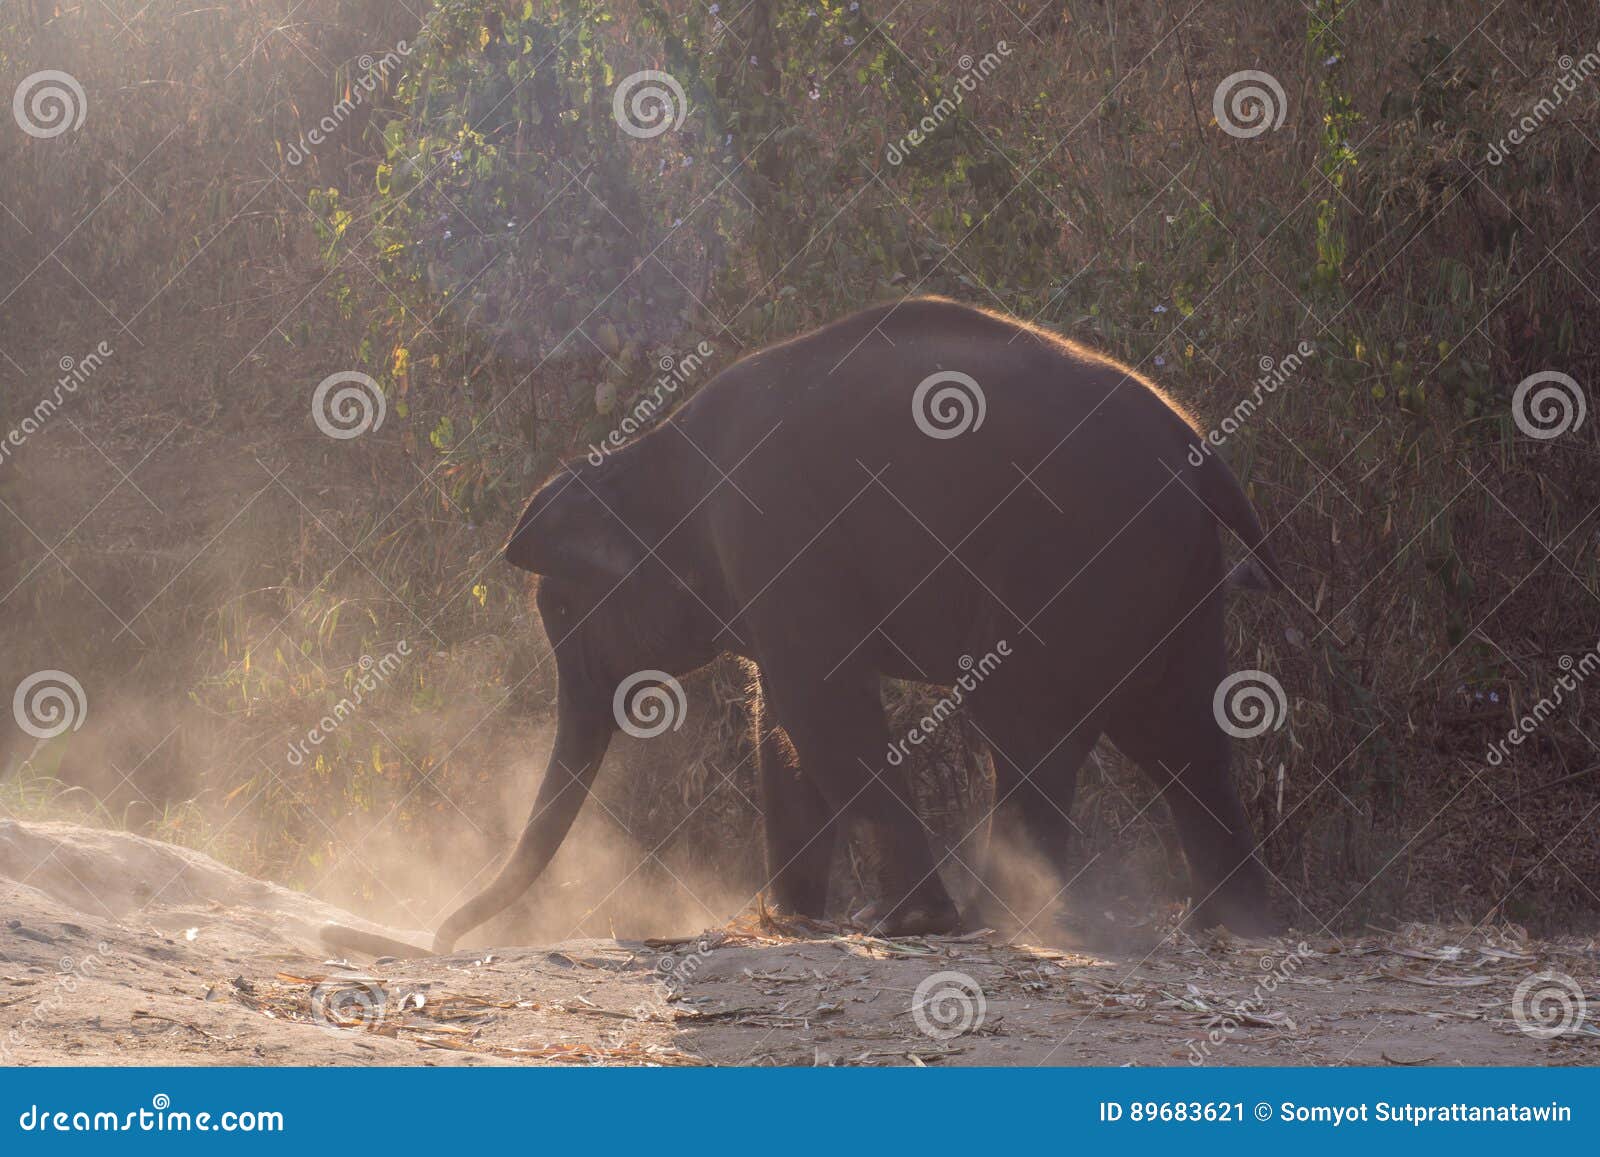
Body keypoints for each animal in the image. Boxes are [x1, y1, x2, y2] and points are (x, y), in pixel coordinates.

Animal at [430, 297, 1285, 954]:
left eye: (560, 608)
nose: (441, 937)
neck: (652, 450)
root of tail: (1197, 446)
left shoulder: (771, 529)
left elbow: (820, 707)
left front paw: (909, 922)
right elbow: (782, 724)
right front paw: (787, 917)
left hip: (1078, 557)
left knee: (1026, 722)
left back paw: (1002, 916)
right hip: (1170, 575)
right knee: (1180, 731)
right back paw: (1232, 922)